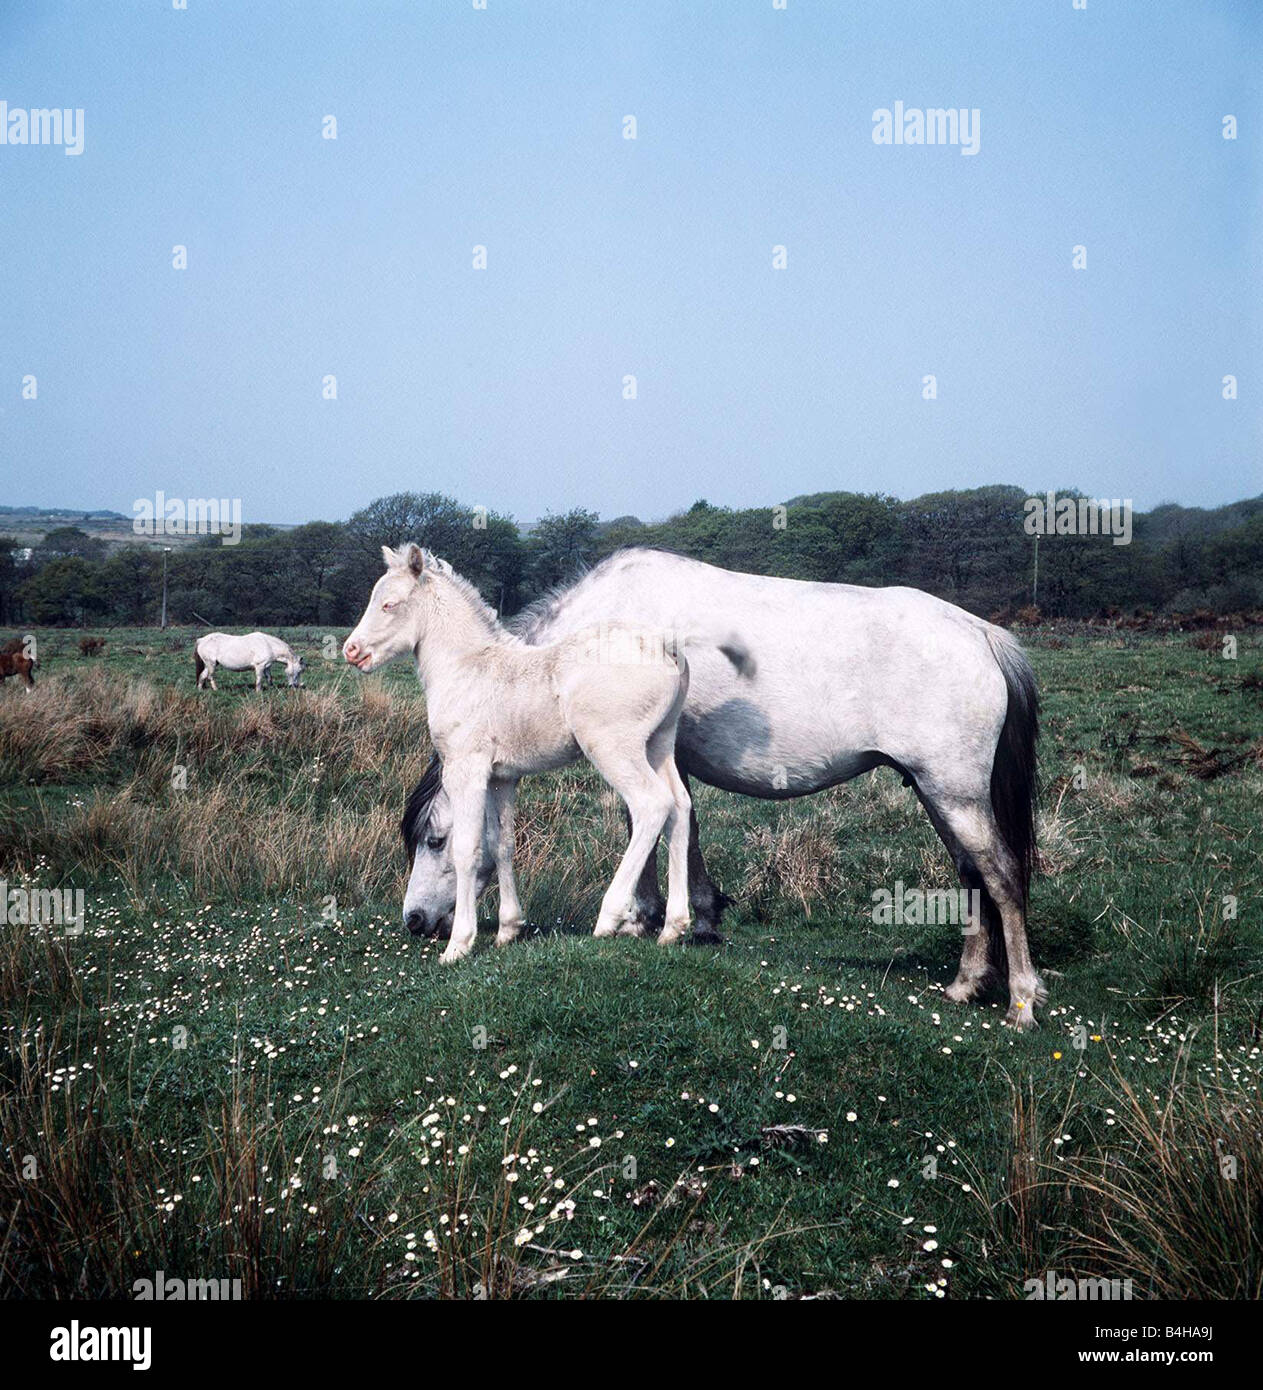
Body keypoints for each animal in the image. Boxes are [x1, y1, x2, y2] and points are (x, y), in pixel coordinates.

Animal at [343, 543, 751, 964]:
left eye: (389, 604)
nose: (351, 650)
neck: (469, 668)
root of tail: (665, 647)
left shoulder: (466, 769)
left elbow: (468, 849)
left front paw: (459, 945)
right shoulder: (502, 776)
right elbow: (501, 843)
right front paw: (508, 929)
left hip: (613, 749)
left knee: (652, 805)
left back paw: (611, 917)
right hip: (659, 744)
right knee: (681, 807)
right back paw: (674, 926)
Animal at [400, 547, 1045, 1028]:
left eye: (434, 840)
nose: (414, 921)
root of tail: (979, 632)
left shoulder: (643, 754)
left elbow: (654, 826)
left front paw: (644, 918)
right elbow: (677, 827)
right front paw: (693, 918)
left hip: (952, 792)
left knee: (1001, 876)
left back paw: (1022, 1000)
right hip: (937, 792)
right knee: (972, 873)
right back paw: (965, 983)